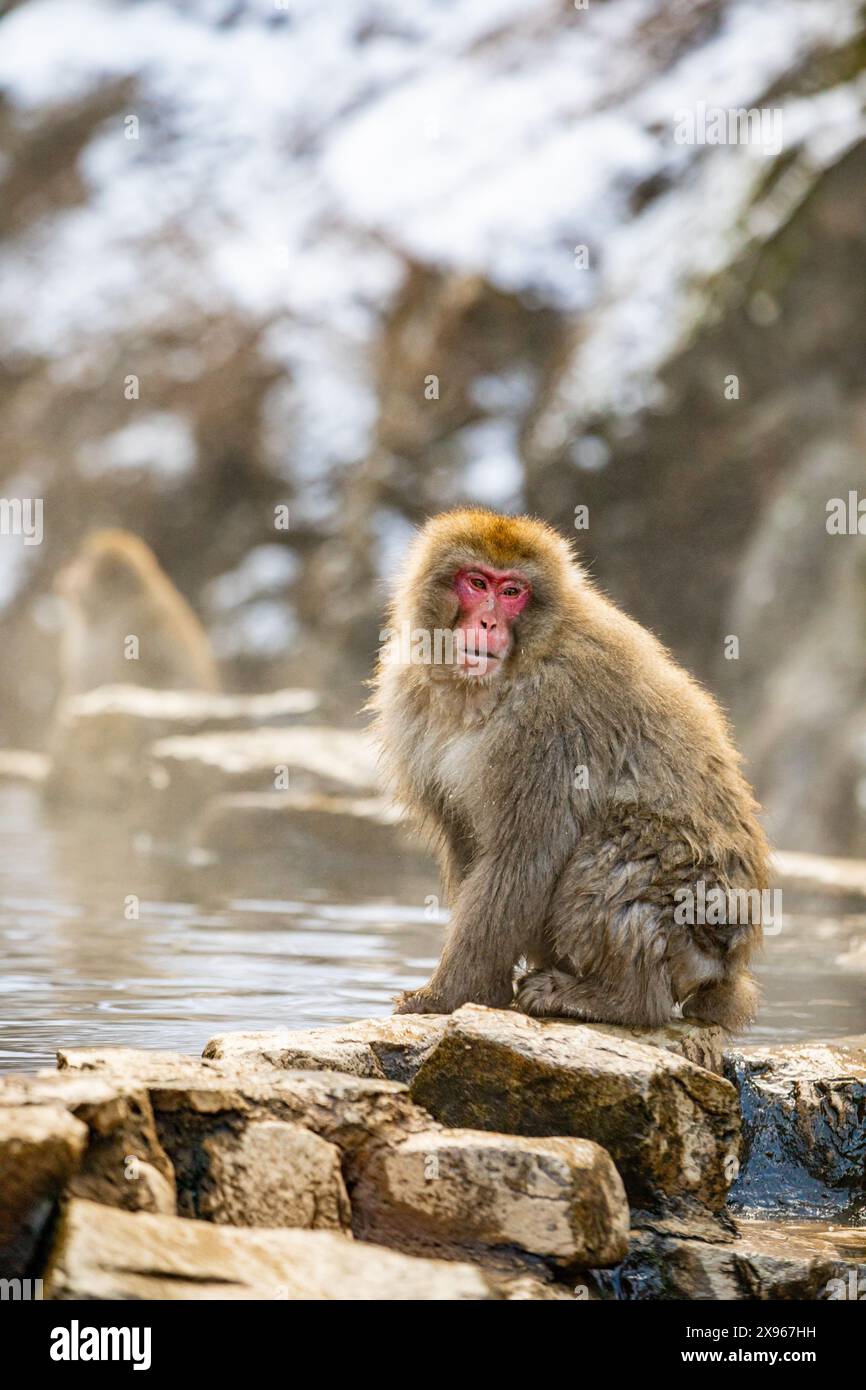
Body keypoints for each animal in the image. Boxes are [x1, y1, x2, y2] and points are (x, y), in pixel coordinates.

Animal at [370, 508, 770, 1032]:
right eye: (477, 582)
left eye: (512, 591)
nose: (488, 621)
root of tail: (731, 965)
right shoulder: (410, 695)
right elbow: (468, 844)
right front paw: (486, 990)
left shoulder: (551, 720)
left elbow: (526, 853)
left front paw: (448, 995)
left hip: (695, 914)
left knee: (616, 845)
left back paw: (615, 1000)